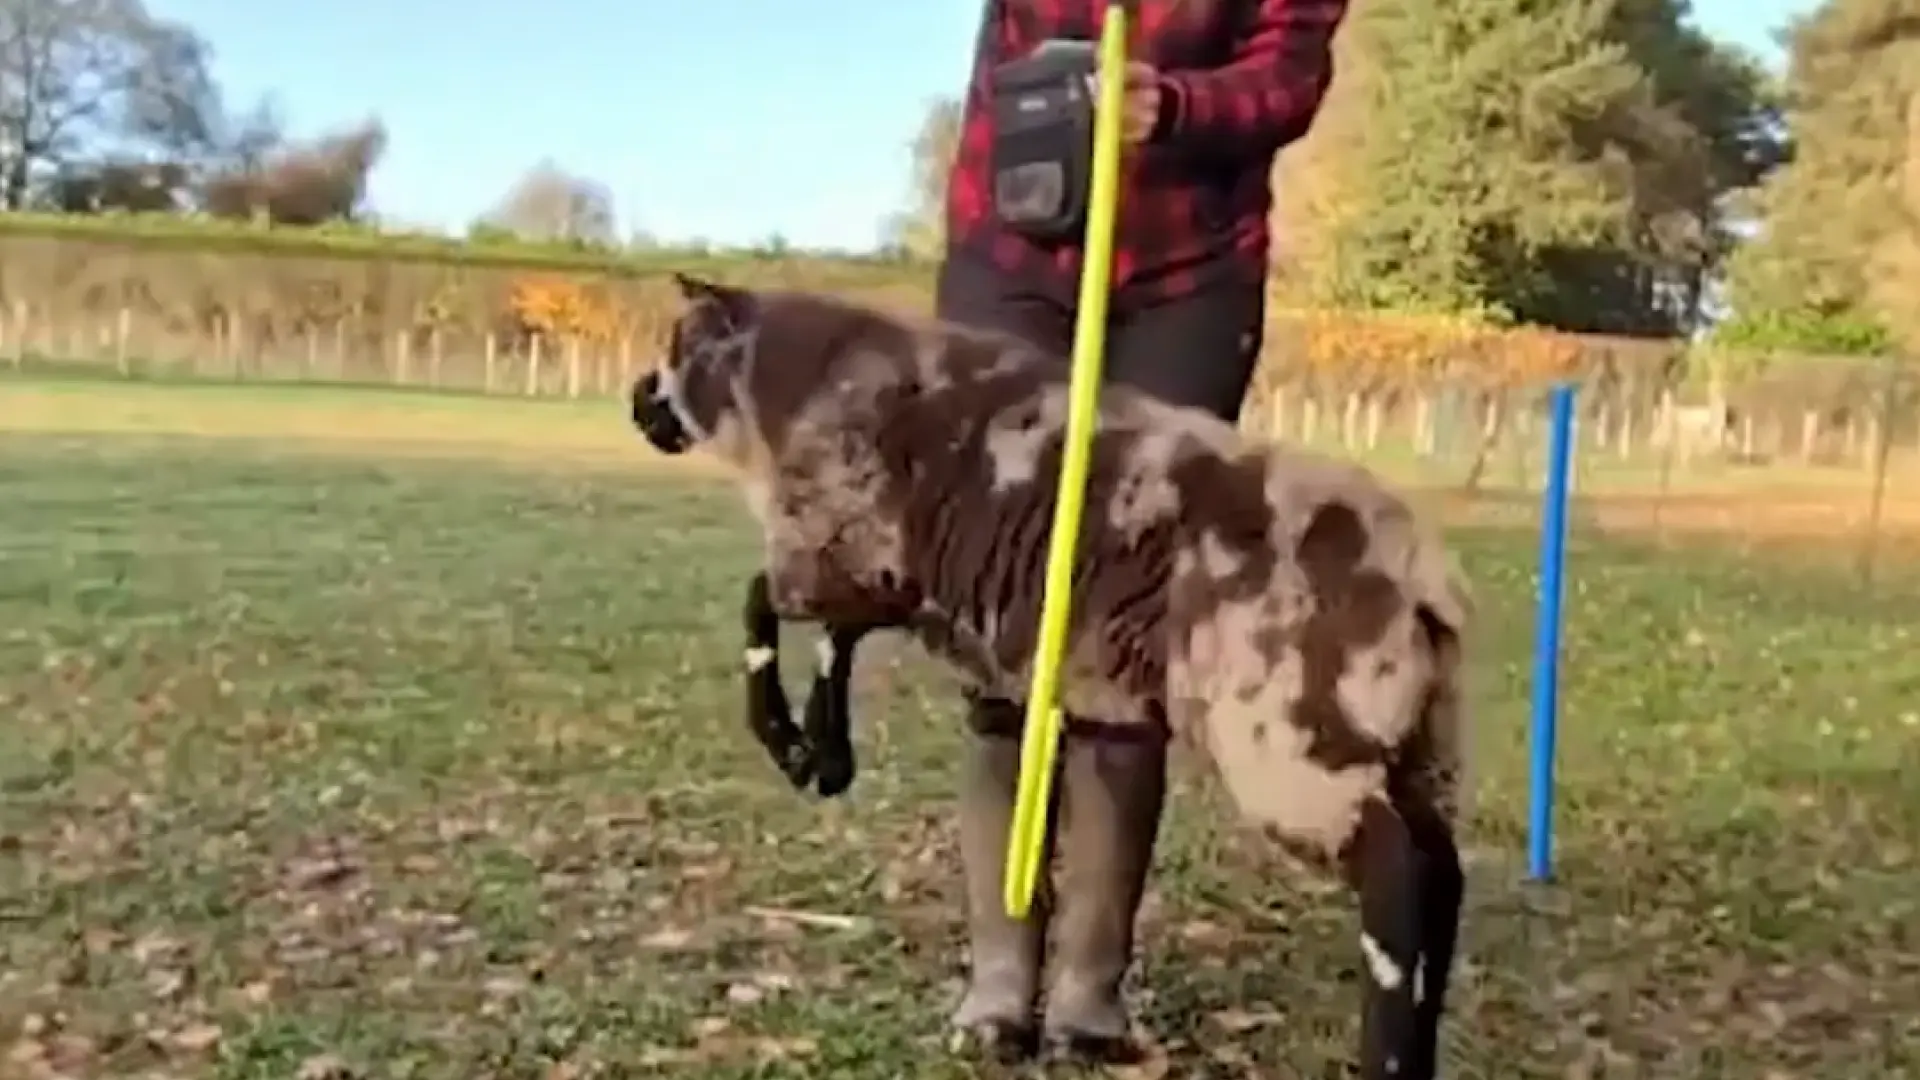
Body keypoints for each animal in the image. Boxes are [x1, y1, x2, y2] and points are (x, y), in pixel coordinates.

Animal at [629, 273, 1473, 1080]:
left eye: (675, 343)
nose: (638, 401)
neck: (788, 384)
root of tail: (1420, 577)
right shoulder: (884, 581)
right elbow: (835, 646)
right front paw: (825, 756)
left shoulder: (830, 552)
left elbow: (757, 606)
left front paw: (787, 741)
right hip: (1408, 741)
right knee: (1442, 873)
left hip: (1292, 735)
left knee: (1399, 876)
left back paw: (1388, 1054)